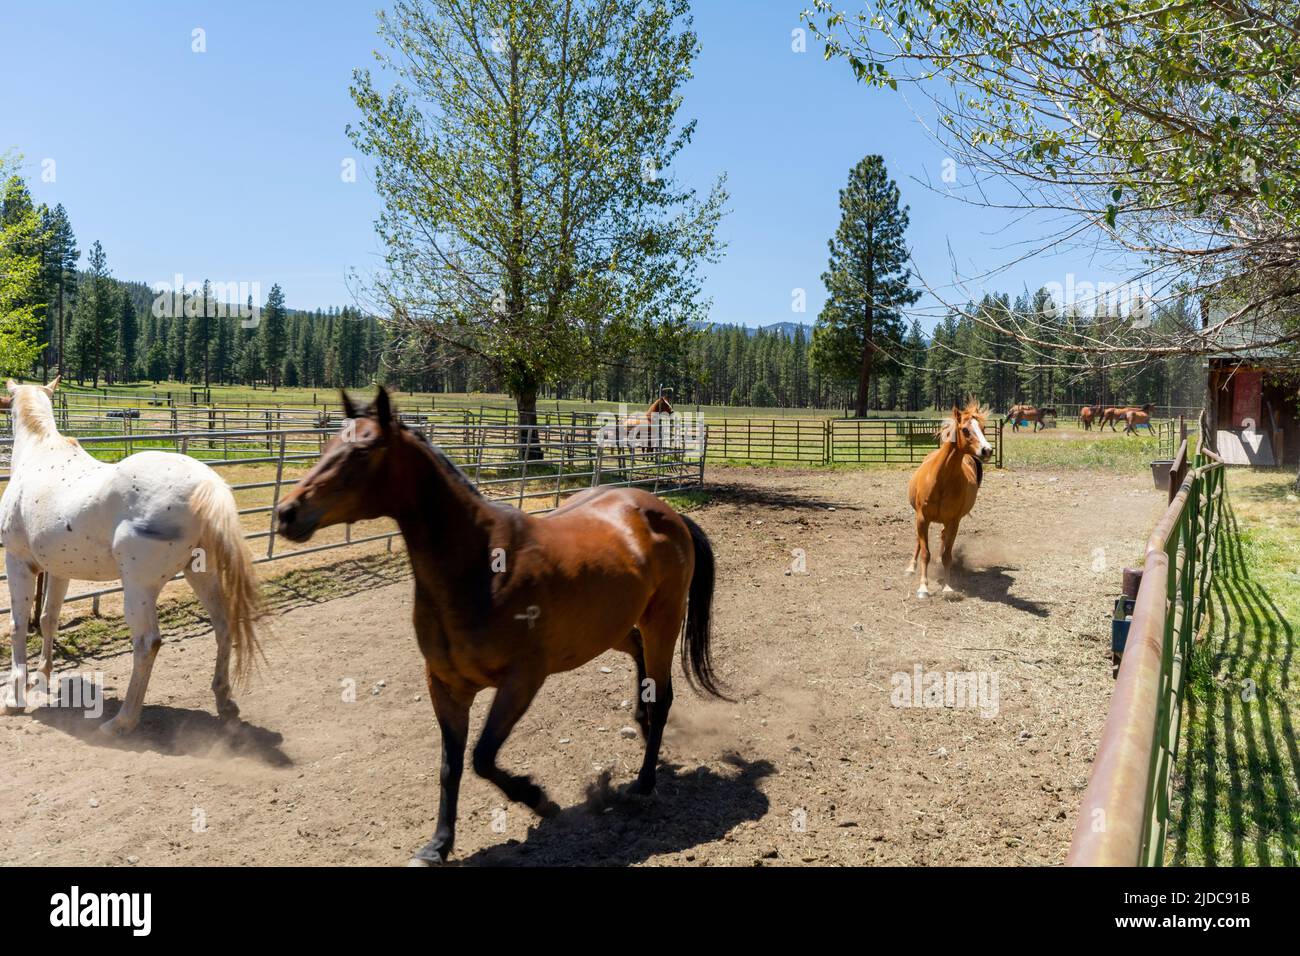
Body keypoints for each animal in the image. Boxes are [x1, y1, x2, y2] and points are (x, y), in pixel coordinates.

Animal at [0, 378, 262, 732]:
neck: (39, 455)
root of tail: (207, 486)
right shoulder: (59, 569)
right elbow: (47, 619)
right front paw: (41, 676)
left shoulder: (18, 562)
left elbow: (16, 625)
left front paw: (14, 698)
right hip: (200, 573)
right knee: (223, 624)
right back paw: (224, 701)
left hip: (139, 587)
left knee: (147, 642)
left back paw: (121, 721)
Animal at [274, 386, 726, 865]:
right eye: (328, 444)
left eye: (362, 450)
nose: (287, 512)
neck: (481, 567)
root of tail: (666, 513)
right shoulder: (445, 686)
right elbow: (451, 766)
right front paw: (438, 844)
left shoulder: (521, 680)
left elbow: (483, 757)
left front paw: (537, 798)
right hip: (612, 627)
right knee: (640, 661)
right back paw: (639, 723)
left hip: (664, 621)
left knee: (664, 694)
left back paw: (644, 781)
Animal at [907, 401, 993, 599]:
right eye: (965, 430)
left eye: (983, 428)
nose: (987, 450)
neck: (941, 480)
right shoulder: (922, 518)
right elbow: (925, 553)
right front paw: (923, 588)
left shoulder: (954, 521)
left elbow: (947, 555)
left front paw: (947, 587)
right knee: (918, 541)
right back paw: (911, 567)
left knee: (943, 538)